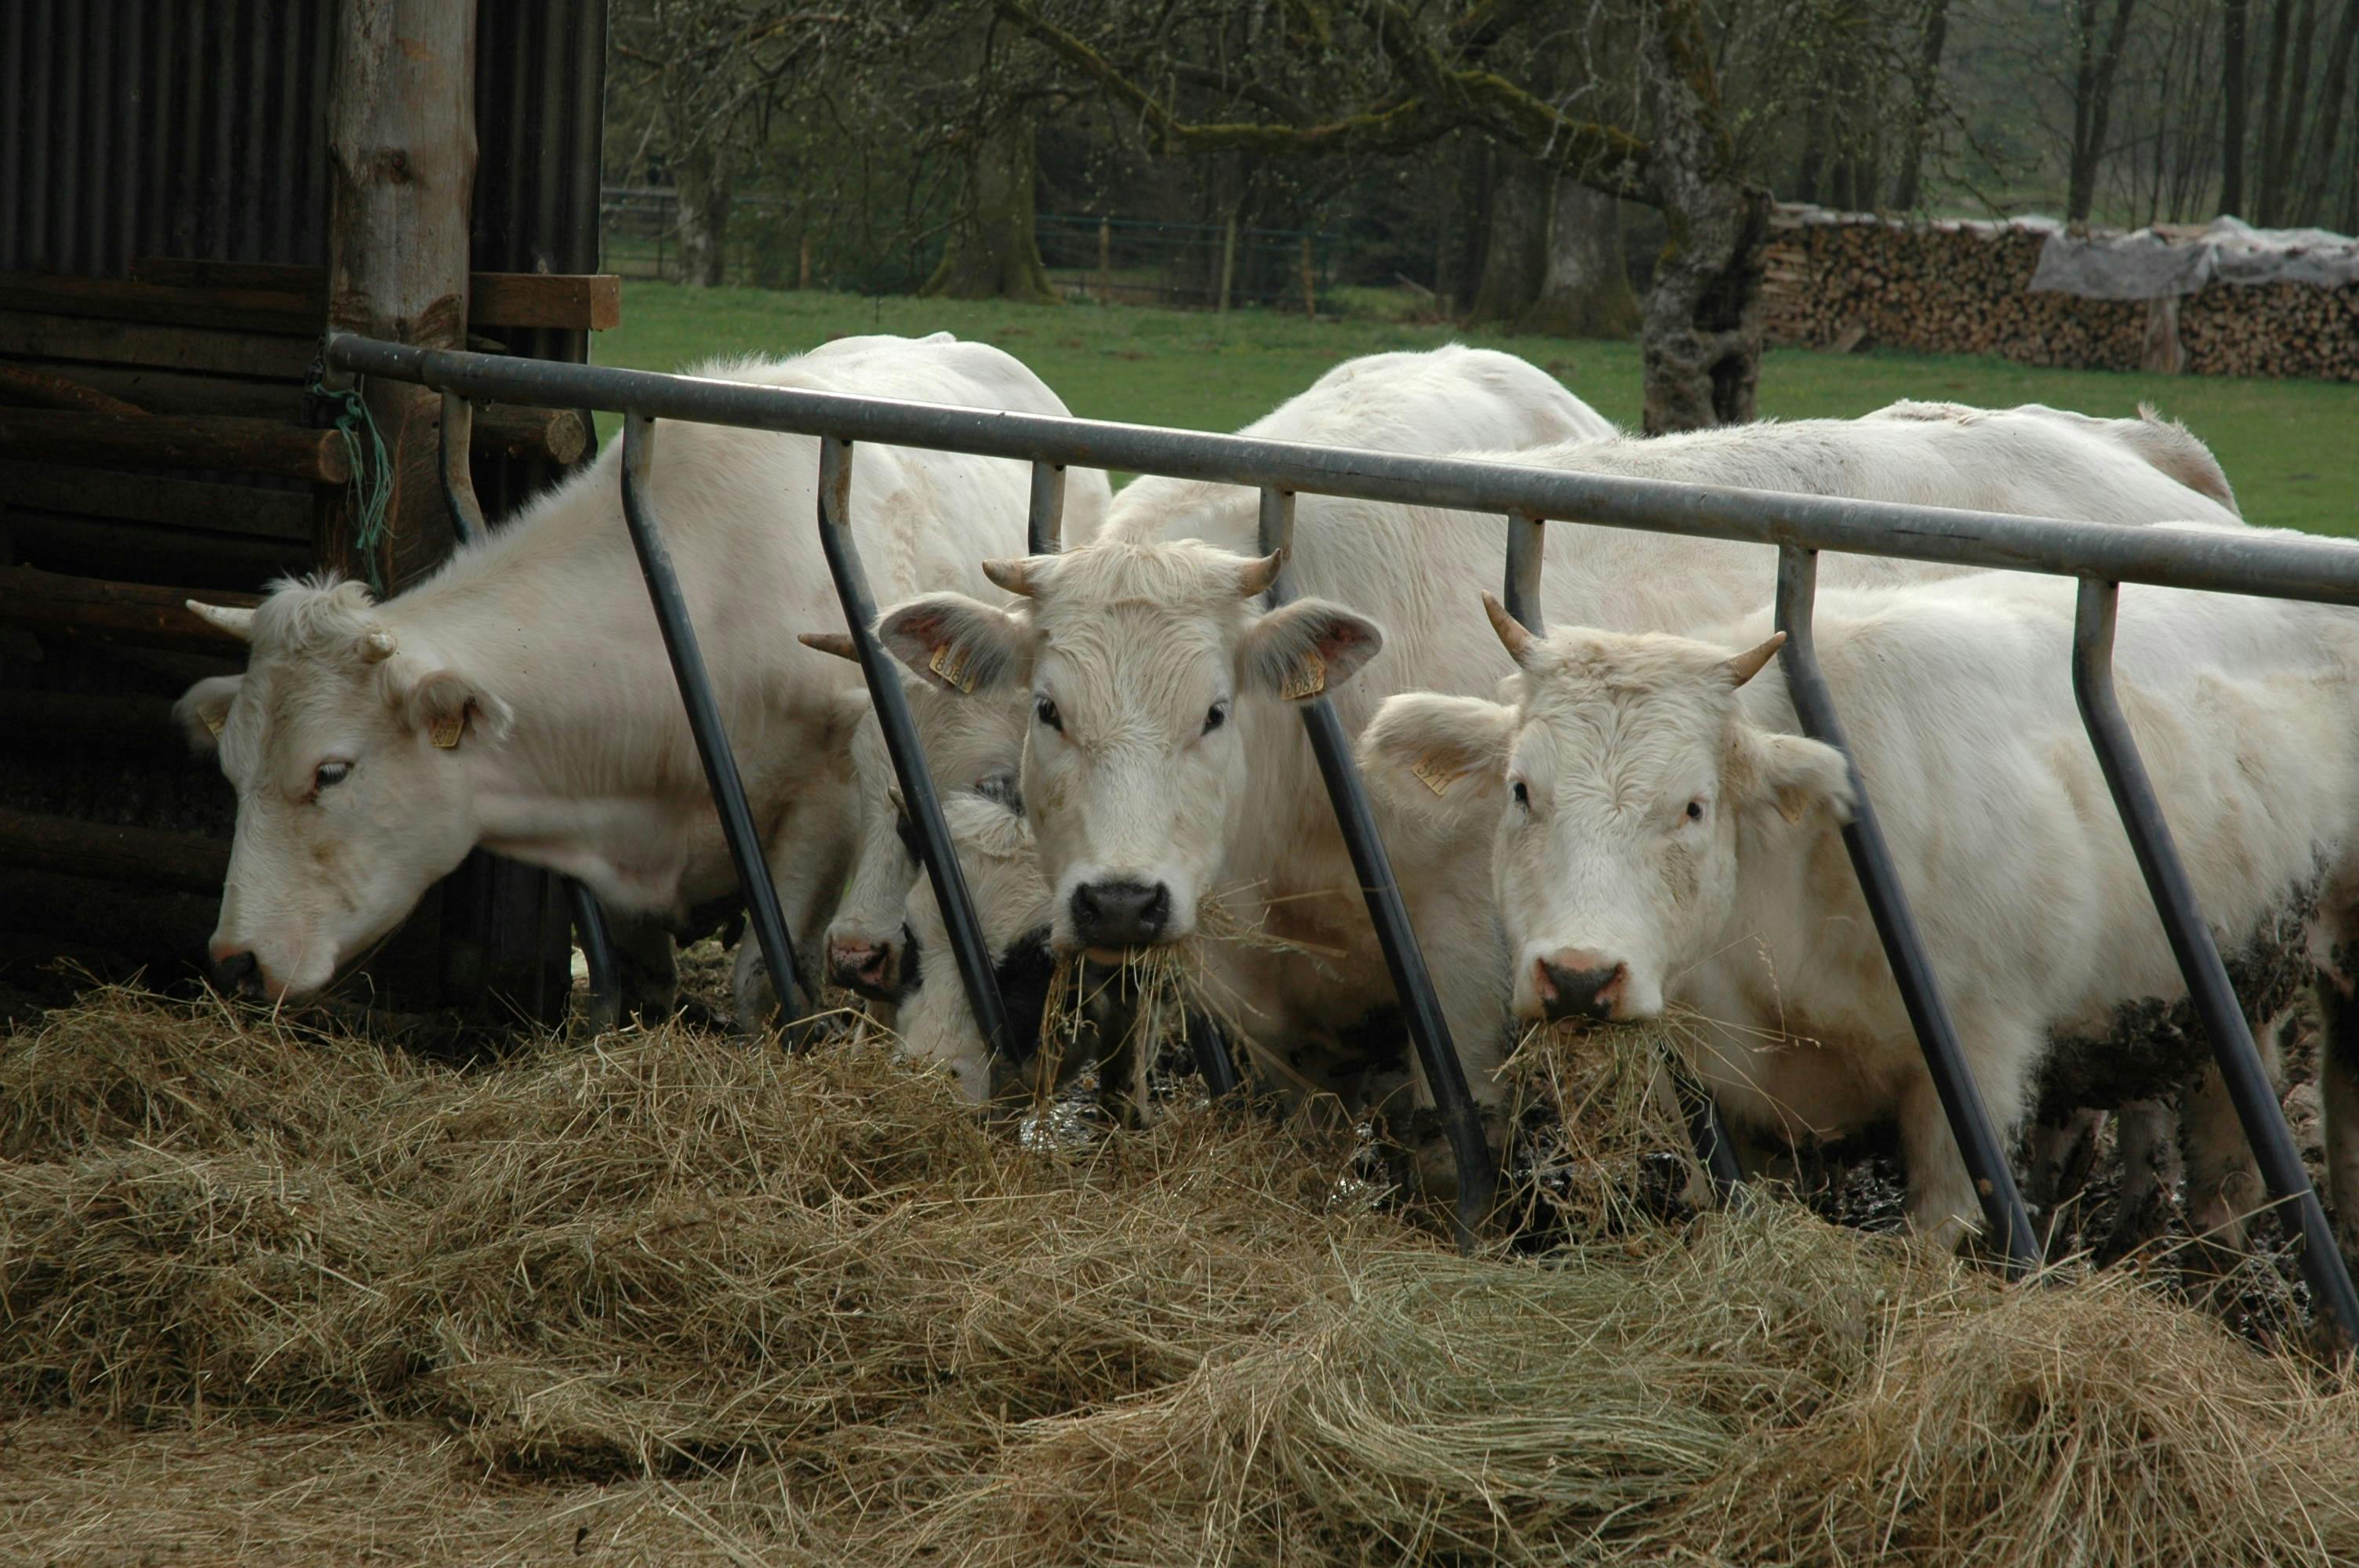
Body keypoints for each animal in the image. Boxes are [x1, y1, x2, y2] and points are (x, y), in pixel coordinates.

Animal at [173, 333, 1107, 1021]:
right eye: (233, 772)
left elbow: (764, 981)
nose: (235, 960)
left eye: (331, 771)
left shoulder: (827, 804)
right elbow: (644, 978)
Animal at [867, 402, 2251, 1191]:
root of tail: (2135, 448)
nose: (1119, 902)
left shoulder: (1471, 966)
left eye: (1213, 711)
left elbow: (1466, 1146)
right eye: (1050, 710)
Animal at [1356, 559, 2359, 1252]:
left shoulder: (1975, 1066)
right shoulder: (1738, 1094)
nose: (1575, 976)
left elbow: (1935, 1235)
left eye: (1692, 806)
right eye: (1521, 790)